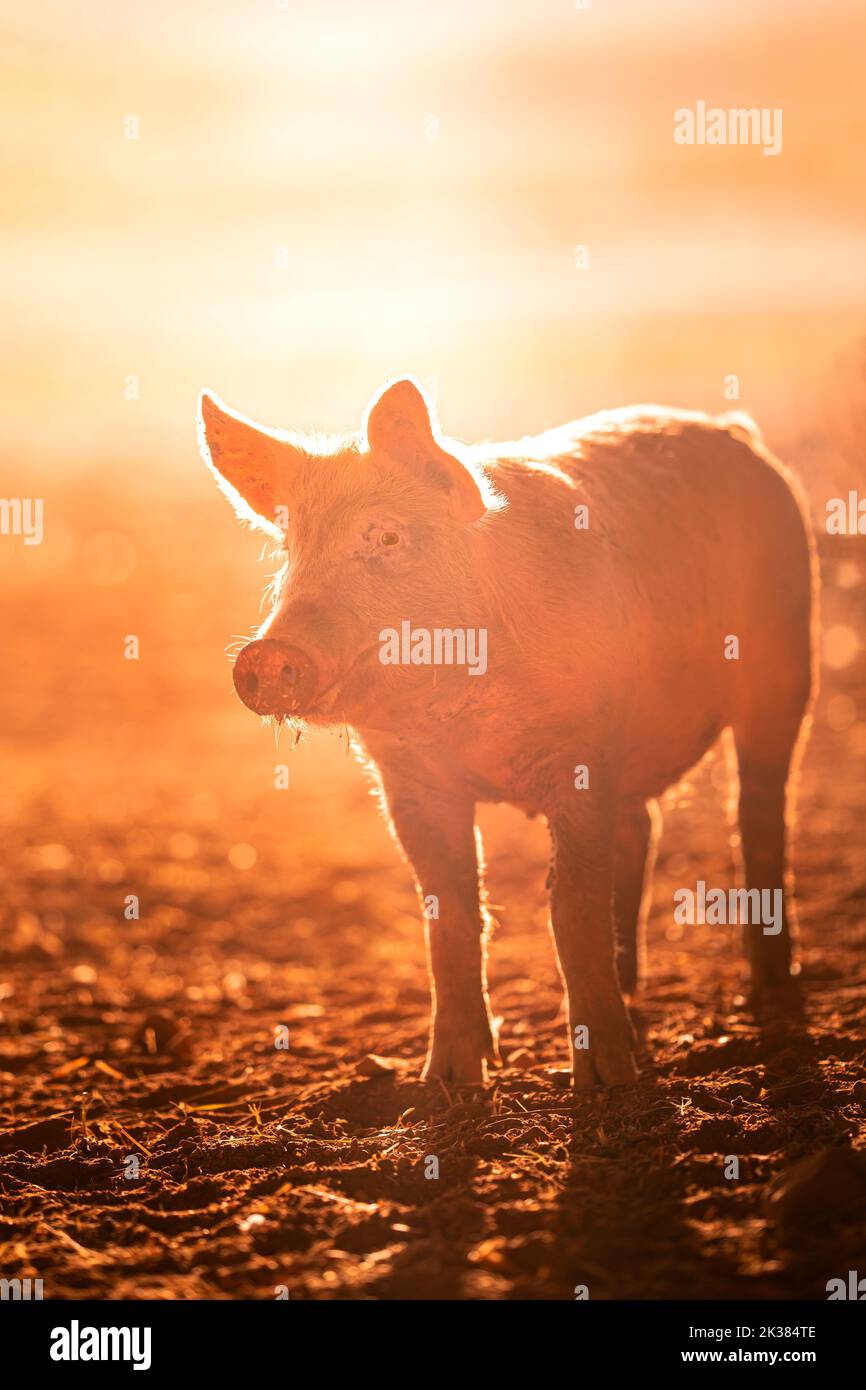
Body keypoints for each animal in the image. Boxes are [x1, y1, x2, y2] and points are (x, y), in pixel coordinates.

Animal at [197, 378, 817, 1087]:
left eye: (387, 537)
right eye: (290, 548)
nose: (264, 656)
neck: (458, 713)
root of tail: (736, 431)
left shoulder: (580, 757)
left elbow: (570, 909)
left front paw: (607, 1081)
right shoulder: (409, 781)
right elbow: (451, 917)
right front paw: (444, 1082)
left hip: (786, 661)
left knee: (760, 811)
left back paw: (773, 985)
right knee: (642, 828)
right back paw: (633, 988)